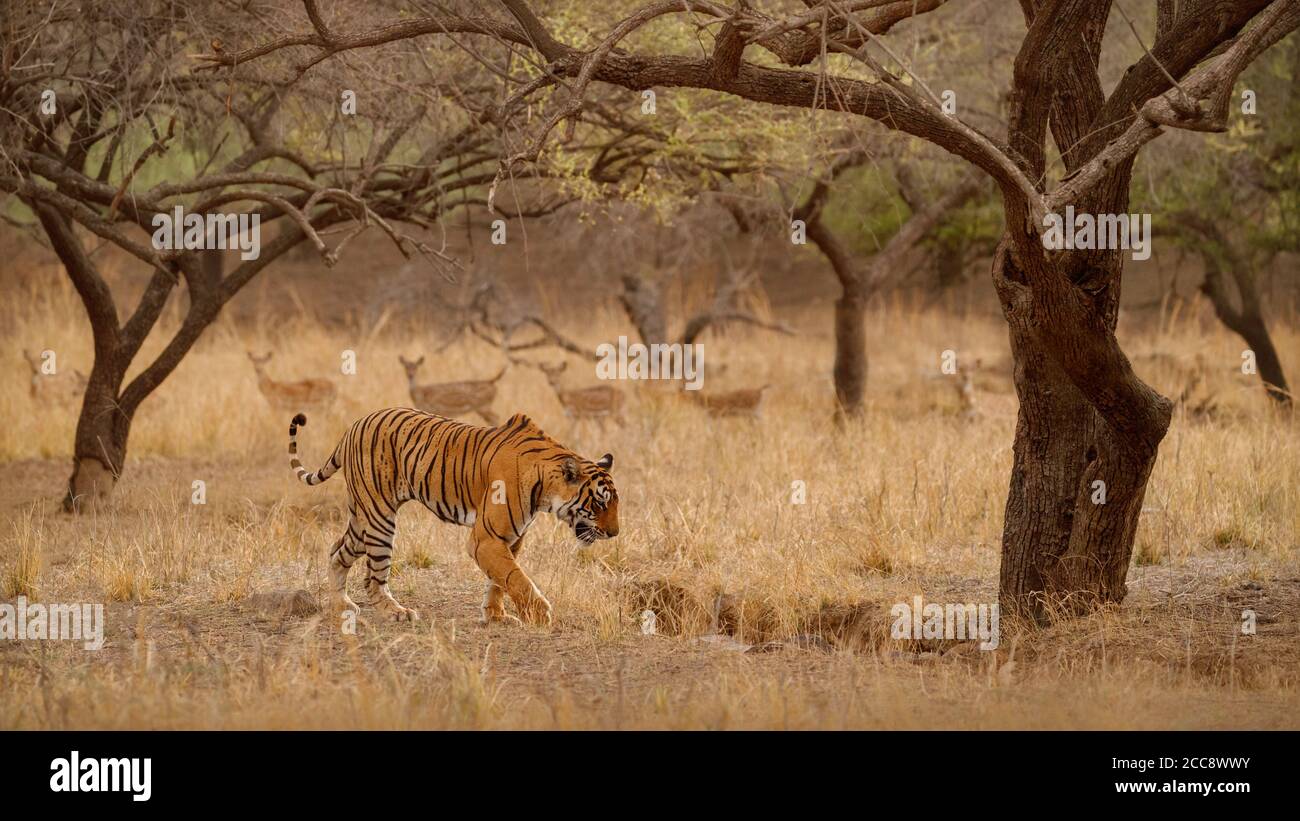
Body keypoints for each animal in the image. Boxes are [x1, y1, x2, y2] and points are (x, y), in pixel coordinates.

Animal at [288, 407, 619, 626]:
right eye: (600, 503)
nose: (614, 533)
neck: (545, 492)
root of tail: (352, 427)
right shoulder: (486, 538)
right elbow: (516, 577)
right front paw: (540, 614)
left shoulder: (510, 539)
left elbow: (500, 579)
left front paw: (496, 615)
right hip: (380, 518)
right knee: (373, 578)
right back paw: (396, 612)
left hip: (363, 518)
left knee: (337, 552)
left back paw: (340, 604)